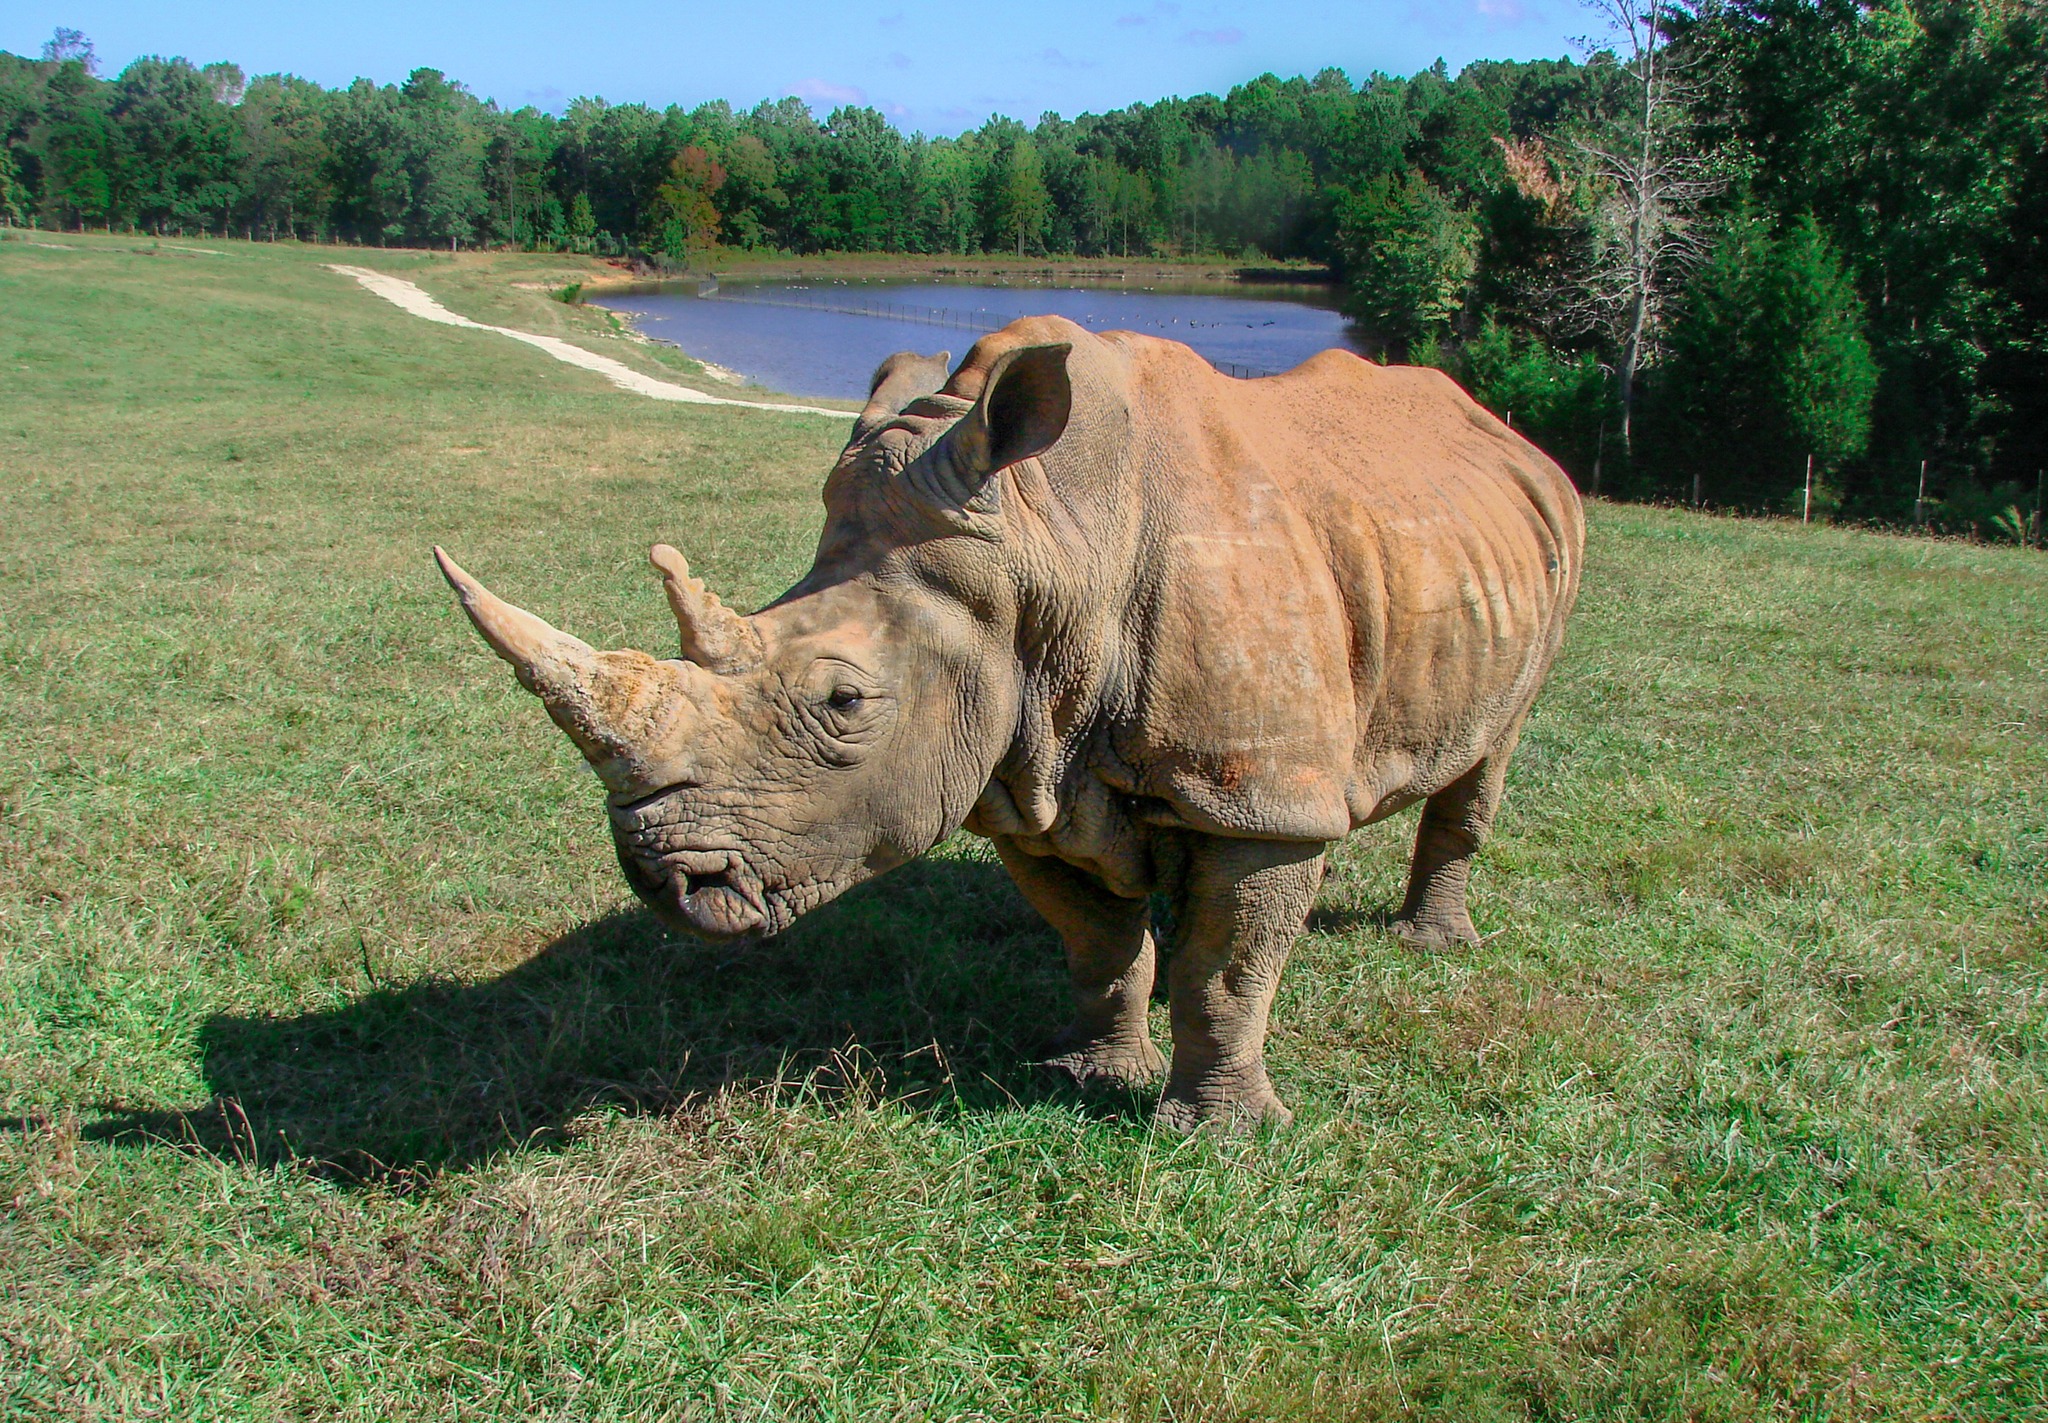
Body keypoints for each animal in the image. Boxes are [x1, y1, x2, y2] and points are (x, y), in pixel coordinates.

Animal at [435, 316, 1583, 1130]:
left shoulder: (1234, 786)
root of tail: (1499, 428)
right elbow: (1100, 942)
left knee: (1488, 751)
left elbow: (1228, 967)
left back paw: (1433, 943)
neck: (1046, 542)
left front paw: (1221, 1136)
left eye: (844, 703)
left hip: (1541, 549)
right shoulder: (1019, 771)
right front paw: (1091, 1072)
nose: (665, 883)